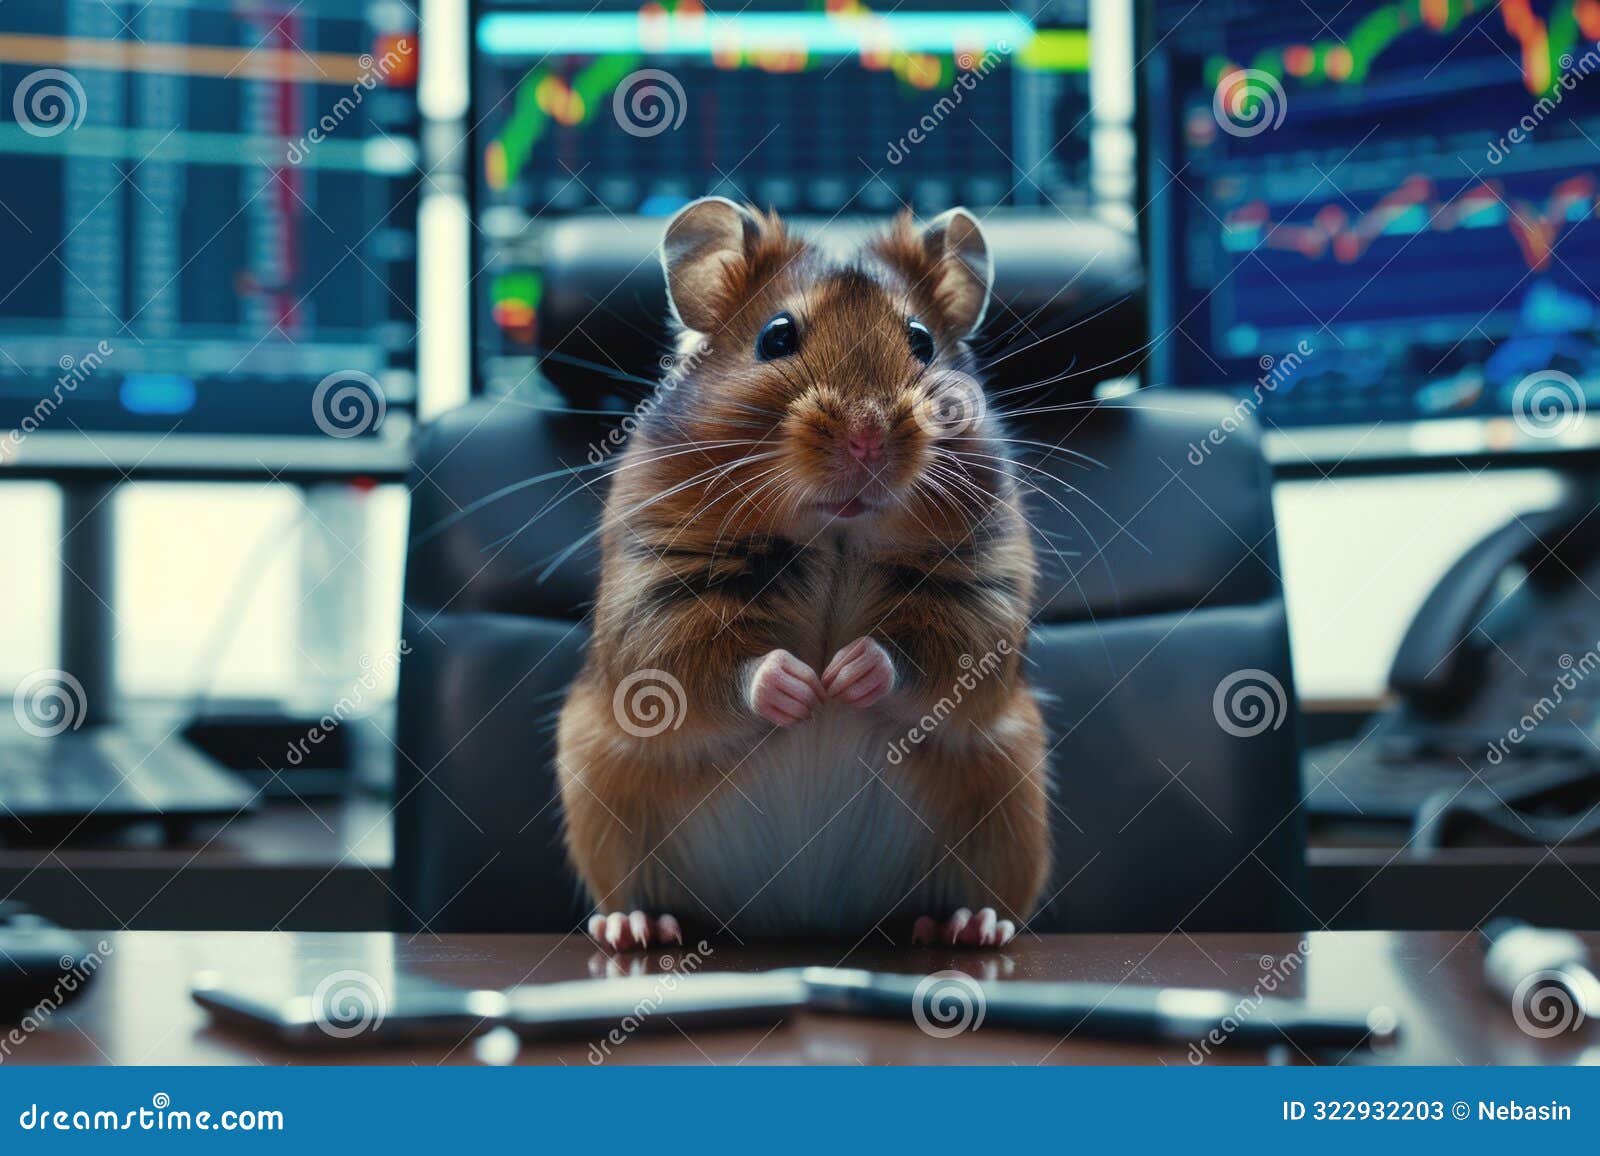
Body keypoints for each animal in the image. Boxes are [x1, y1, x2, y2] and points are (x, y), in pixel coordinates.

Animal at [556, 197, 1049, 951]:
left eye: (922, 342)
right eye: (776, 337)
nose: (867, 437)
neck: (836, 533)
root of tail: (806, 918)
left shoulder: (982, 592)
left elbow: (927, 656)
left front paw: (844, 676)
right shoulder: (657, 596)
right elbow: (702, 666)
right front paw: (801, 685)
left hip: (1012, 792)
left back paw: (969, 926)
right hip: (598, 788)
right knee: (630, 890)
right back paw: (635, 928)